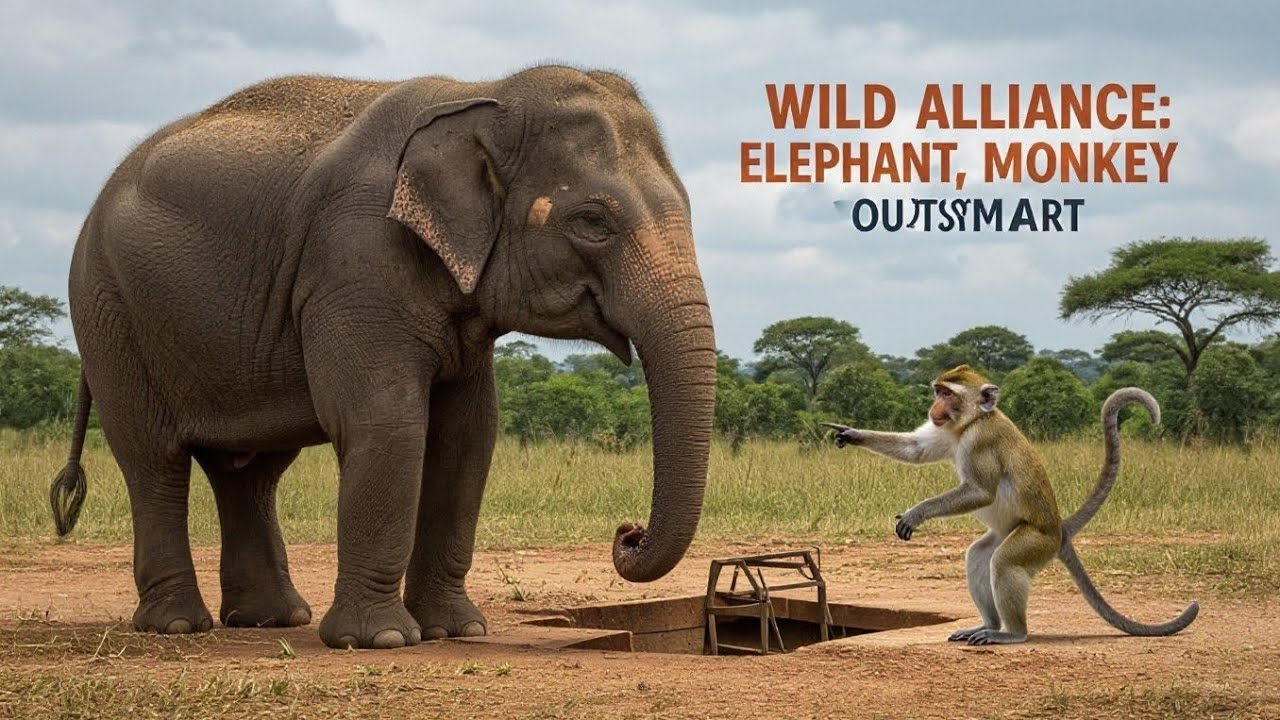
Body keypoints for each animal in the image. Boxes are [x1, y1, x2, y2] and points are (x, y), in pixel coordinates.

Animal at [48, 65, 716, 649]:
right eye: (593, 222)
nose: (627, 533)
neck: (485, 94)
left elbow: (467, 438)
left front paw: (457, 631)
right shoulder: (356, 259)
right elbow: (388, 425)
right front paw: (382, 640)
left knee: (251, 471)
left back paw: (272, 620)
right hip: (109, 311)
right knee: (153, 459)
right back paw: (179, 626)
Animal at [823, 364, 1199, 645]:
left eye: (948, 394)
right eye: (938, 392)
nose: (935, 408)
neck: (973, 420)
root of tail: (1058, 527)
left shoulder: (980, 442)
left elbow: (980, 492)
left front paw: (917, 513)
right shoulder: (949, 431)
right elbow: (915, 450)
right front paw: (851, 433)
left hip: (1035, 541)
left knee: (1004, 563)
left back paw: (1013, 633)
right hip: (1011, 534)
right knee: (979, 556)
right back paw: (988, 625)